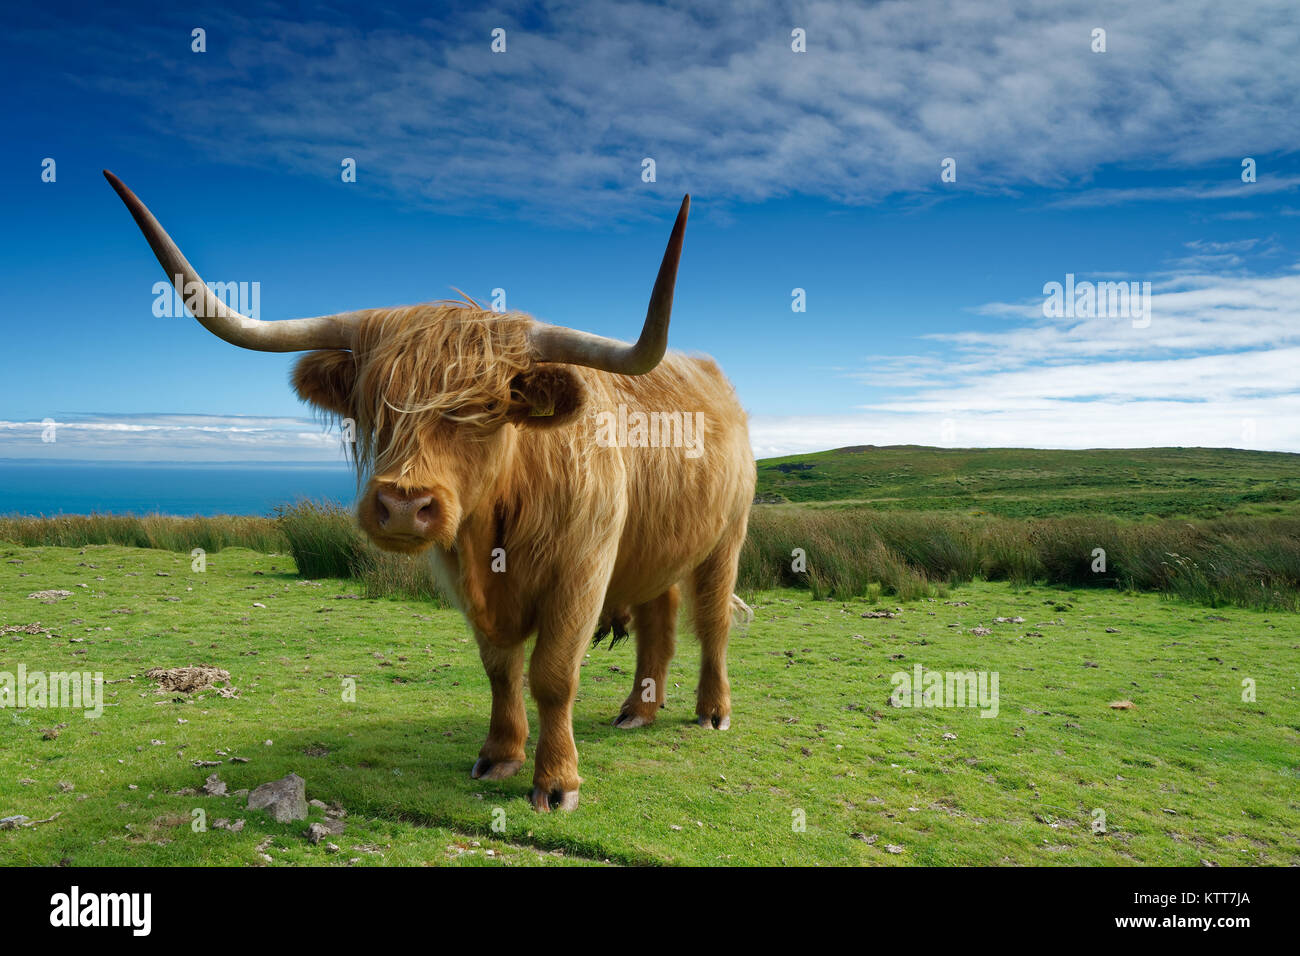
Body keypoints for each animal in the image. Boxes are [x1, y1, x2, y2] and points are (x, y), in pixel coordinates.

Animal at [104, 171, 755, 811]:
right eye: (374, 402)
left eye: (487, 408)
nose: (401, 507)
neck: (500, 522)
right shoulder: (461, 574)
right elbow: (499, 667)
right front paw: (500, 755)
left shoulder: (583, 568)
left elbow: (553, 673)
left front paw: (557, 781)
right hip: (659, 546)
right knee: (660, 620)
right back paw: (638, 710)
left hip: (727, 538)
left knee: (712, 622)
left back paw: (712, 712)